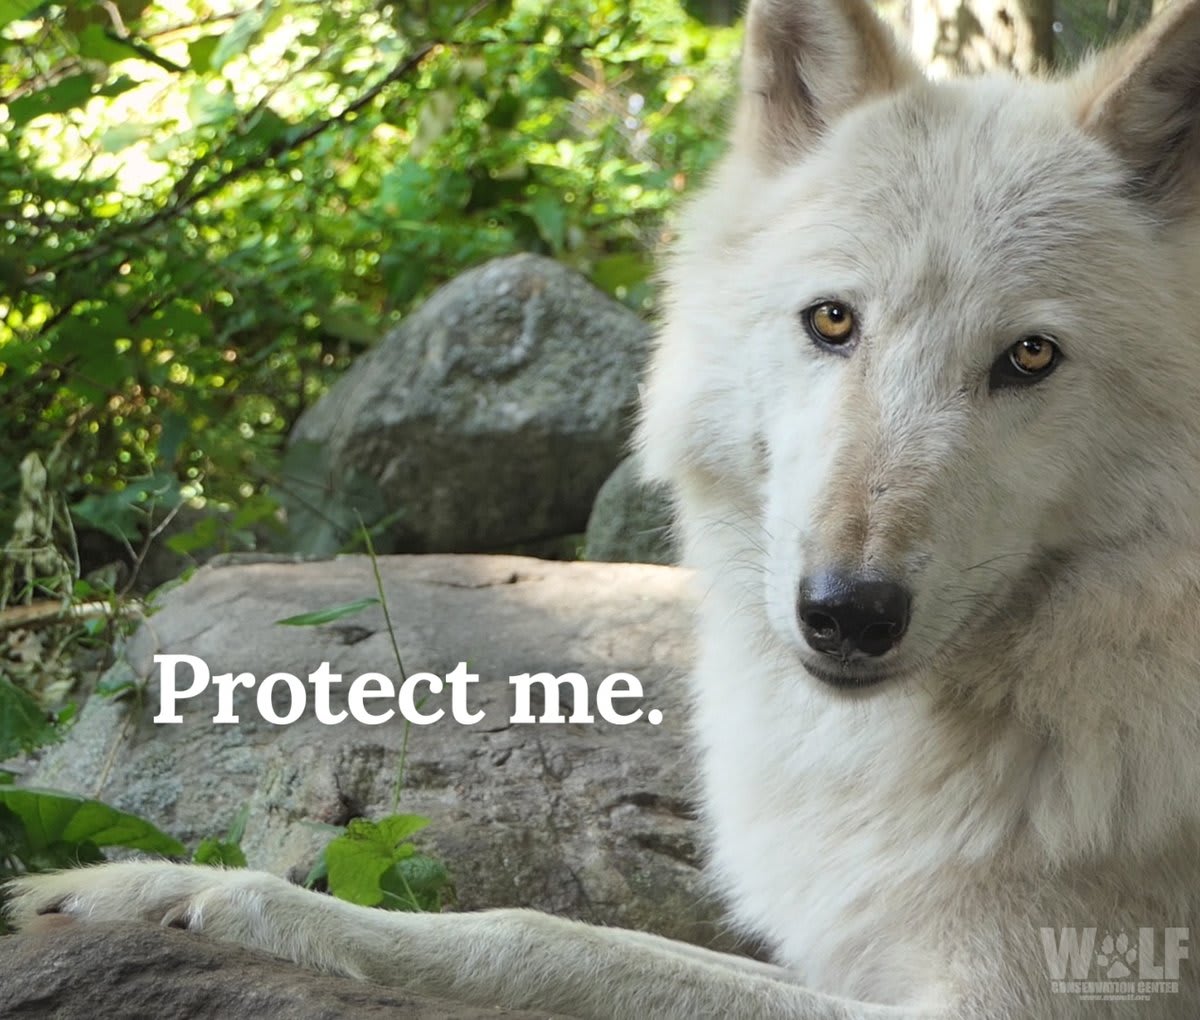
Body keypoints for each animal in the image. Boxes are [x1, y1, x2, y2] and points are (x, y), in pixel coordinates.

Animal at [9, 0, 1200, 1015]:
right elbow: (586, 935)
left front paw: (223, 902)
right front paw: (143, 886)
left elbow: (547, 938)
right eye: (832, 321)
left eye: (1030, 357)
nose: (846, 614)